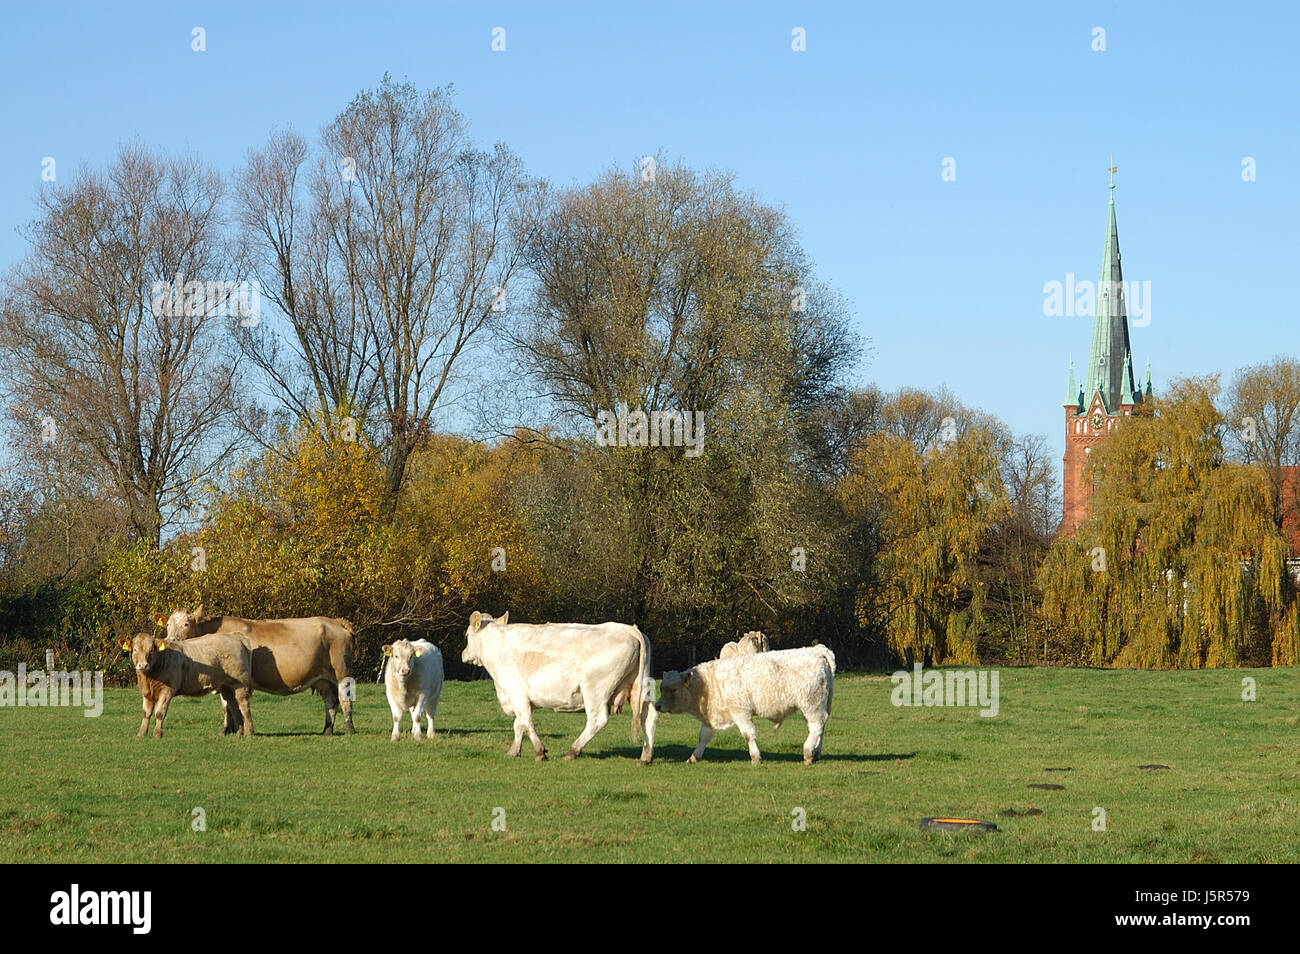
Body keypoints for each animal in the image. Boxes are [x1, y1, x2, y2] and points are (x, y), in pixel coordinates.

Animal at [121, 632, 254, 739]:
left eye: (151, 650)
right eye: (135, 650)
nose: (143, 665)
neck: (150, 678)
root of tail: (235, 636)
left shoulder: (168, 690)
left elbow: (159, 712)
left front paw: (157, 734)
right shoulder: (146, 692)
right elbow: (146, 713)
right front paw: (141, 733)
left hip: (240, 684)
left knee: (244, 705)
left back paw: (249, 732)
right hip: (226, 686)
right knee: (233, 706)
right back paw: (240, 732)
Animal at [159, 607, 355, 735]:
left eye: (186, 624)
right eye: (167, 624)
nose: (170, 640)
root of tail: (335, 621)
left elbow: (226, 704)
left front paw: (226, 730)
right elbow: (228, 704)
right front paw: (231, 729)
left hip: (342, 673)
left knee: (344, 700)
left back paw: (349, 729)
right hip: (324, 679)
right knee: (330, 700)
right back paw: (327, 730)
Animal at [461, 611, 657, 764]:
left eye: (467, 635)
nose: (464, 654)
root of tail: (627, 628)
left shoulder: (517, 694)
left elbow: (526, 722)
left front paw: (539, 752)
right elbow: (518, 725)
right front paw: (514, 751)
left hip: (594, 690)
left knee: (597, 720)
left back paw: (573, 751)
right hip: (639, 689)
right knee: (648, 717)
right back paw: (645, 757)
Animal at [655, 645, 835, 765]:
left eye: (674, 689)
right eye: (661, 687)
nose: (657, 706)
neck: (707, 684)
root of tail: (817, 650)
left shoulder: (740, 712)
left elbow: (748, 734)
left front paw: (755, 758)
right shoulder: (711, 717)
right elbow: (703, 737)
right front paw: (694, 756)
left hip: (811, 705)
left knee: (817, 726)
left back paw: (808, 753)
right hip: (815, 706)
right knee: (820, 726)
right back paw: (816, 753)